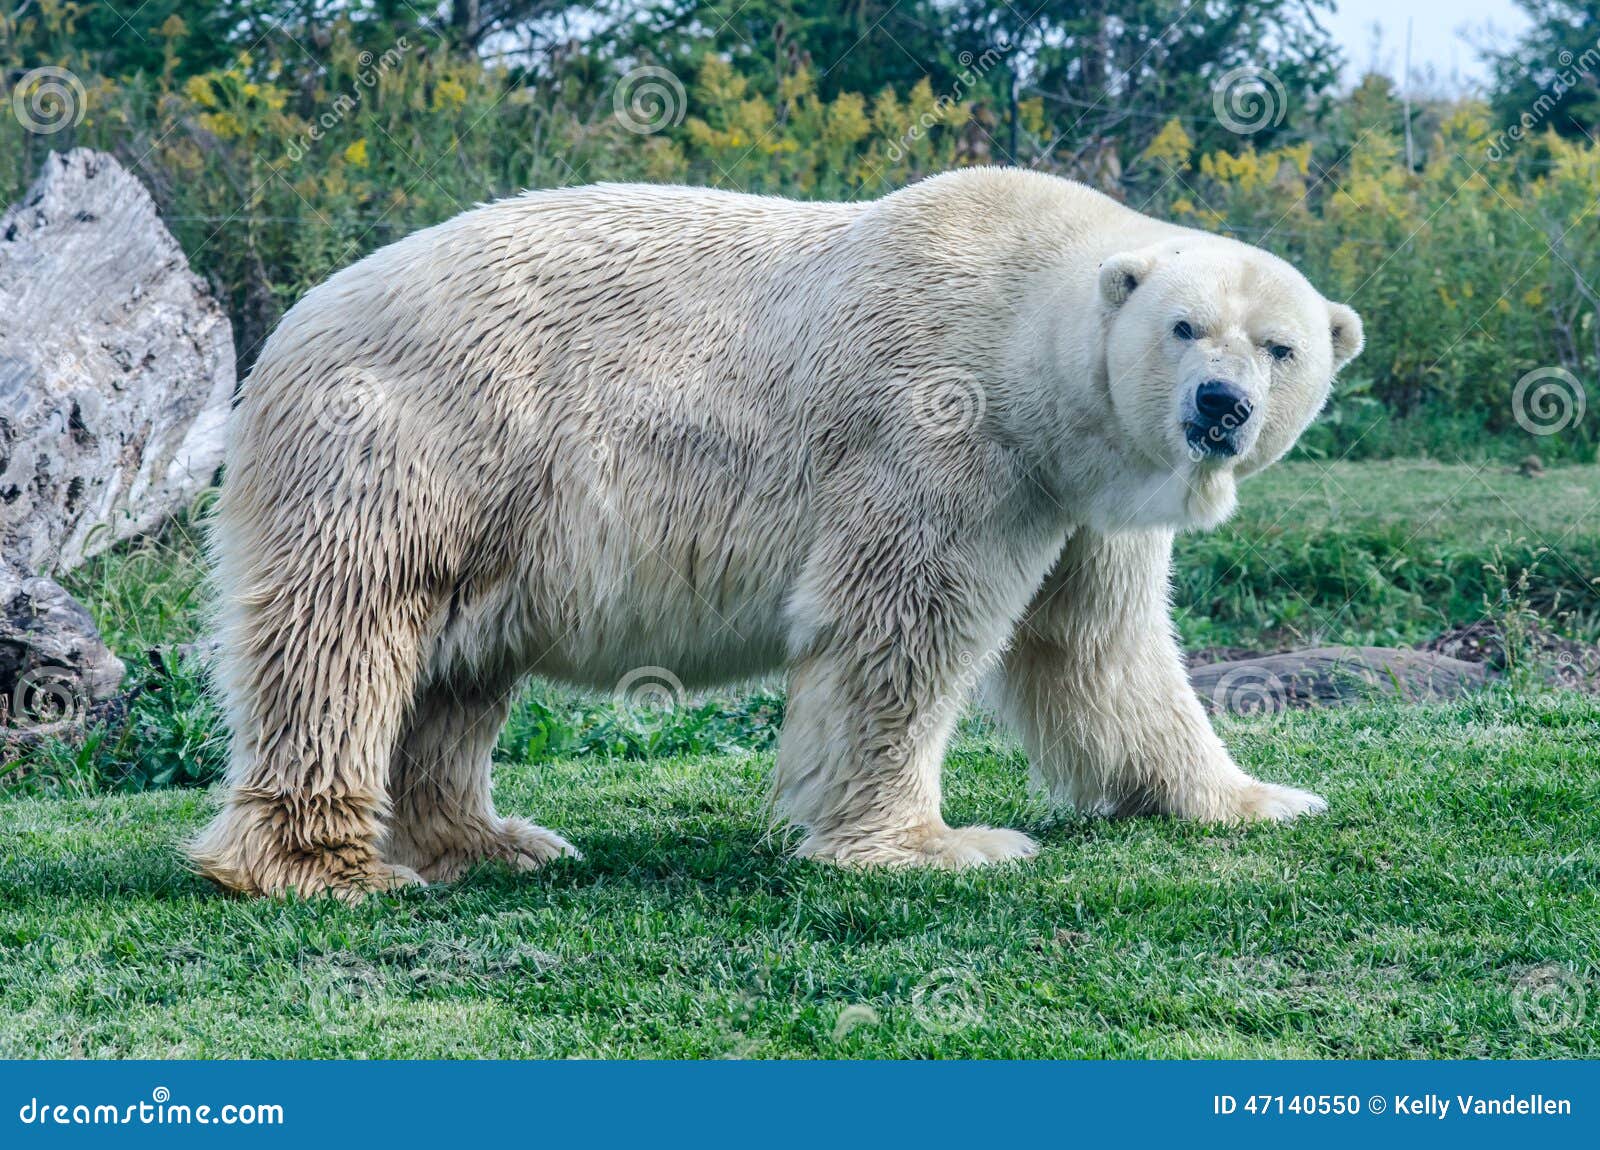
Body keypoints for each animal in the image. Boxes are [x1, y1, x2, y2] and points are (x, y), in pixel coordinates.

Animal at [189, 167, 1363, 899]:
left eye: (1281, 345)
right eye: (1182, 326)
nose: (1220, 405)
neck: (1024, 317)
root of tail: (291, 322)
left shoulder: (1076, 490)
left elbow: (1100, 649)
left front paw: (1255, 798)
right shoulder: (945, 425)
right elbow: (899, 626)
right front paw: (939, 846)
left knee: (458, 669)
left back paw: (490, 843)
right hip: (414, 440)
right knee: (345, 637)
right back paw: (328, 867)